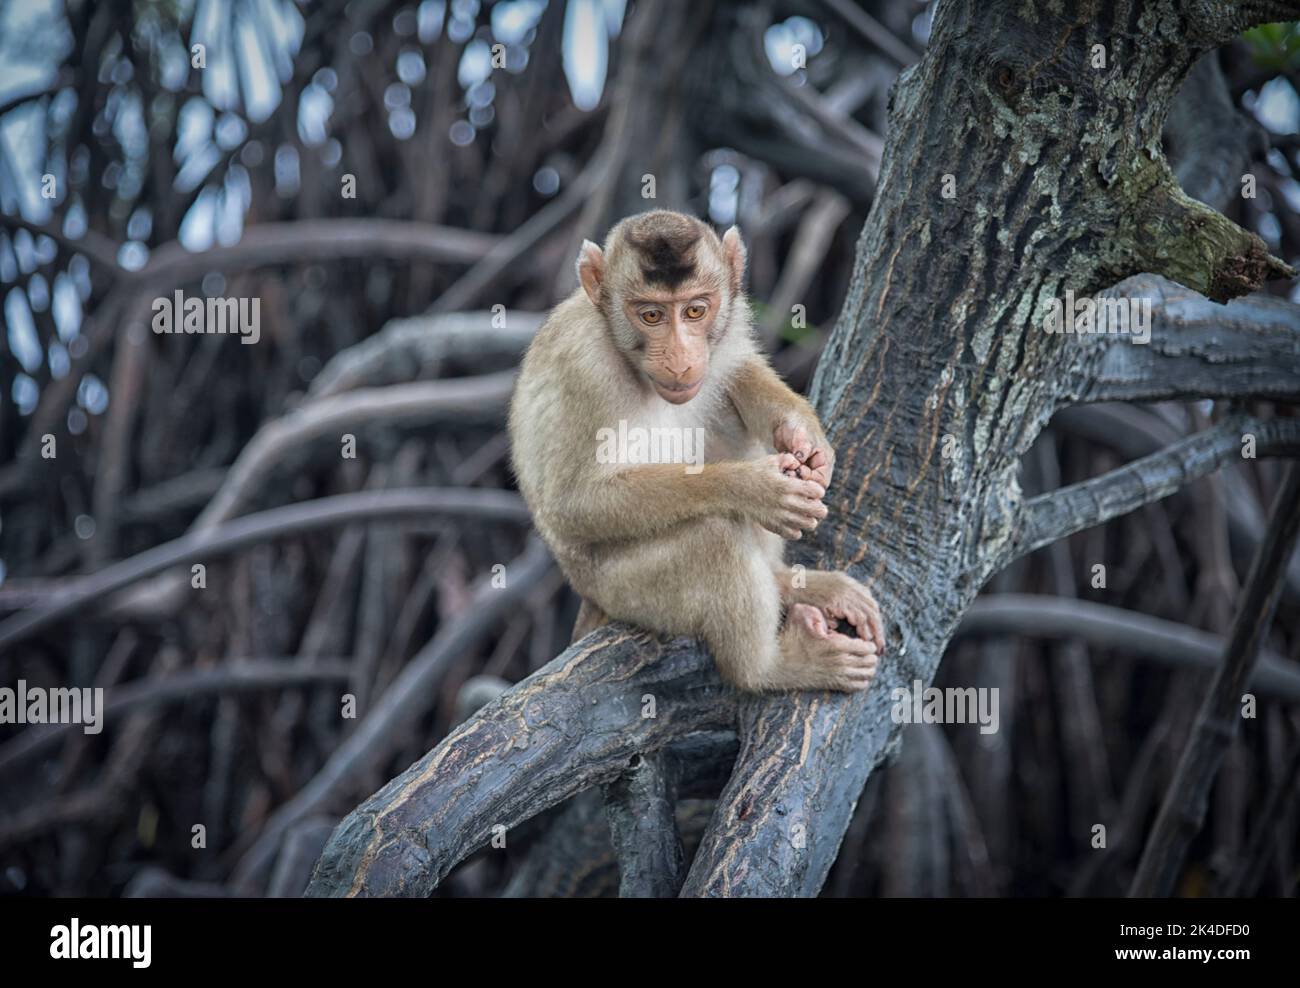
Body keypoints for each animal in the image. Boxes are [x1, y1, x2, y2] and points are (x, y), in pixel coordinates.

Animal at [508, 209, 885, 692]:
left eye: (695, 310)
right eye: (651, 315)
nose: (681, 358)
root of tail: (589, 596)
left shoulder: (730, 322)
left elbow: (739, 368)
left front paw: (804, 435)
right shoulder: (584, 366)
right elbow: (571, 504)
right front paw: (754, 488)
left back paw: (786, 583)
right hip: (627, 592)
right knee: (715, 536)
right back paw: (770, 667)